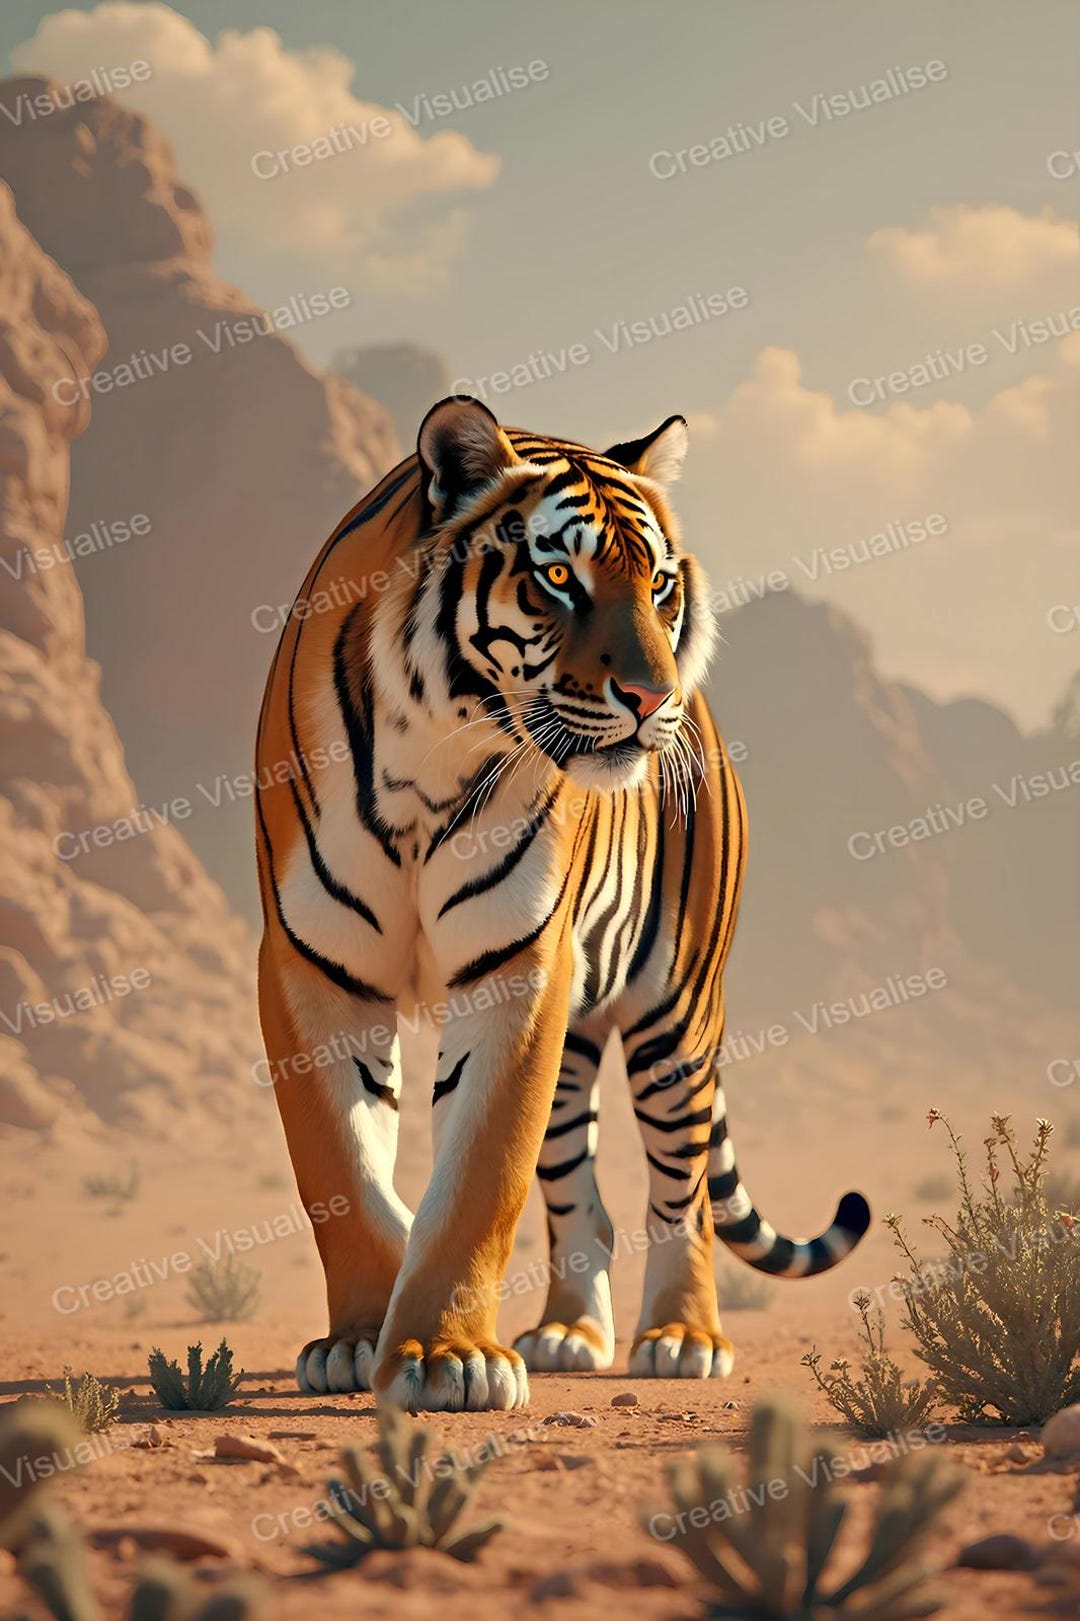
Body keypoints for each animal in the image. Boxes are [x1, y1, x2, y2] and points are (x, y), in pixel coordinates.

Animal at [255, 395, 870, 1413]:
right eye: (556, 577)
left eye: (659, 585)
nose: (653, 696)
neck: (430, 758)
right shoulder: (313, 968)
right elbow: (339, 1167)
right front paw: (358, 1338)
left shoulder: (516, 967)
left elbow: (480, 1173)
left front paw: (445, 1355)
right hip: (577, 1034)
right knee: (584, 1190)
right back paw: (570, 1333)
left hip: (675, 1015)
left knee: (684, 1190)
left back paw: (681, 1337)